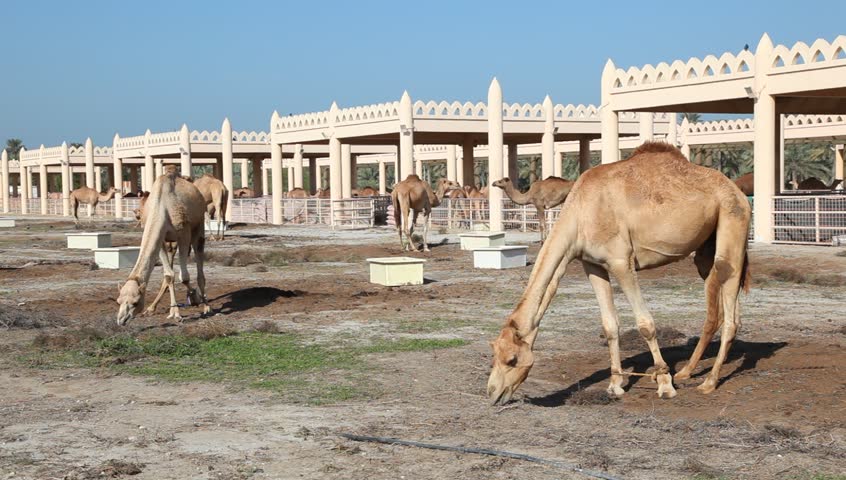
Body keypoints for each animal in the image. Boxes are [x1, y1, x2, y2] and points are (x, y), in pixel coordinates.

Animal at [116, 167, 210, 325]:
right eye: (118, 301)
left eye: (135, 302)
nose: (121, 320)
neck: (161, 208)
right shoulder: (161, 239)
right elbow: (169, 275)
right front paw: (175, 313)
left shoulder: (183, 233)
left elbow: (184, 277)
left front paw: (195, 298)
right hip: (171, 242)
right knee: (171, 265)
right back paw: (155, 308)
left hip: (198, 226)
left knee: (199, 253)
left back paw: (205, 305)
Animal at [487, 142, 751, 405]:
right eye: (494, 354)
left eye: (511, 359)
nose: (493, 393)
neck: (580, 213)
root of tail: (737, 191)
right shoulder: (592, 265)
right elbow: (609, 325)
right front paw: (615, 385)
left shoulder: (621, 261)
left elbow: (645, 324)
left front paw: (665, 384)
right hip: (706, 248)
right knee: (720, 308)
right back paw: (686, 372)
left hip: (732, 222)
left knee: (730, 306)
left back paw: (709, 382)